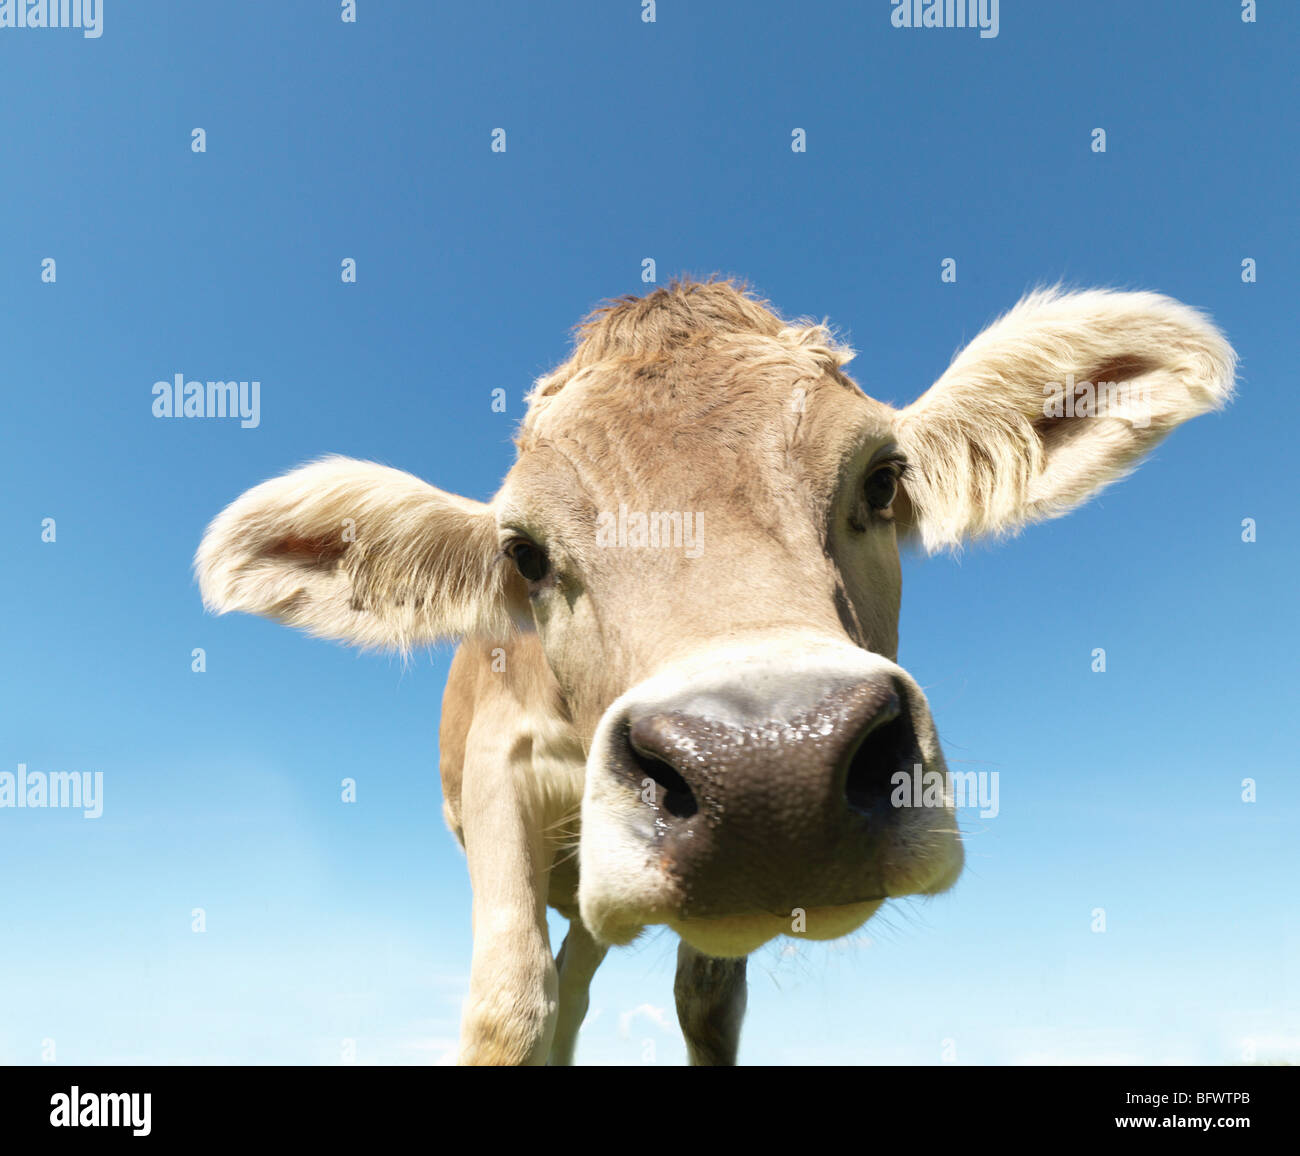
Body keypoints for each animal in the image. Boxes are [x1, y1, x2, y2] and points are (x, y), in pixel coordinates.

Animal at [196, 279, 1235, 1065]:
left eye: (882, 479)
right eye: (524, 554)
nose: (771, 767)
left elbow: (705, 1007)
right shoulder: (498, 768)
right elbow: (507, 1006)